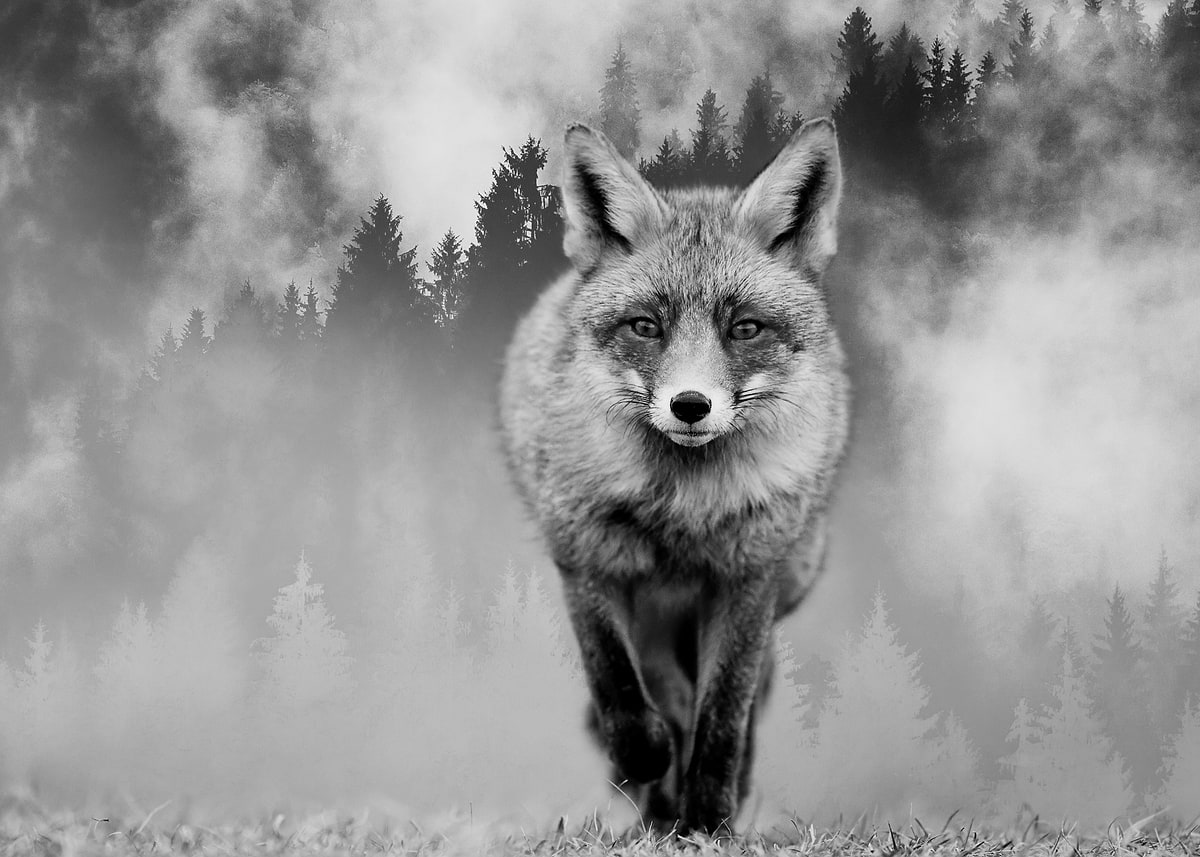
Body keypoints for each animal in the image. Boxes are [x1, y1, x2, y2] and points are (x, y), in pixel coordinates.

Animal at [498, 118, 850, 834]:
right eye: (645, 326)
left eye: (745, 328)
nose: (690, 405)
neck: (682, 503)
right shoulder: (587, 561)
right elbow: (618, 687)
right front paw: (646, 761)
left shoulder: (746, 579)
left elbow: (725, 714)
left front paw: (710, 818)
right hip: (655, 607)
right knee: (666, 689)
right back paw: (656, 797)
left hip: (785, 579)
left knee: (743, 696)